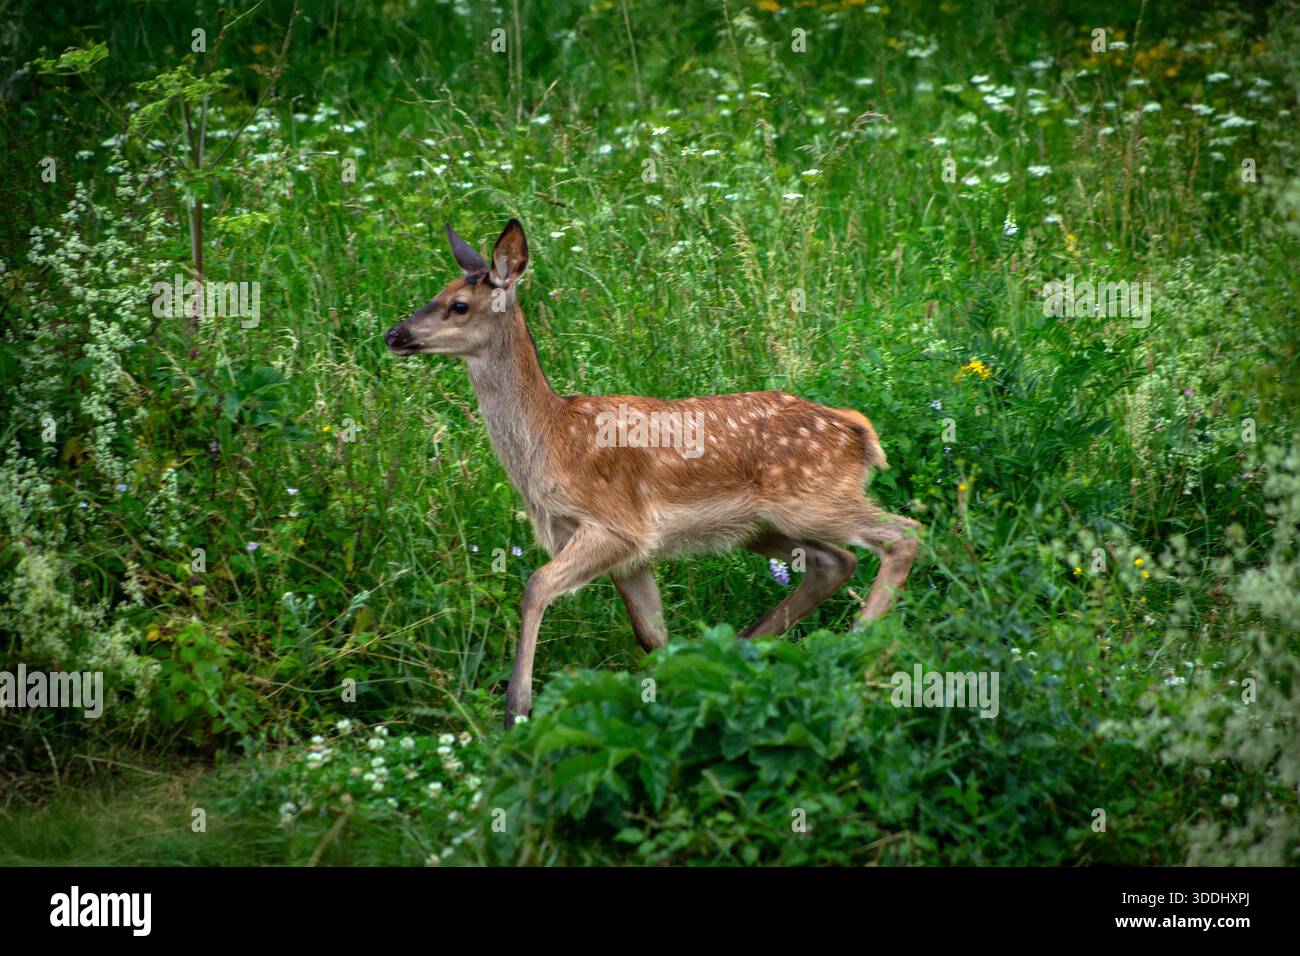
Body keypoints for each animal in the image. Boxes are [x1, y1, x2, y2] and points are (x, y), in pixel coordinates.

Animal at [386, 219, 922, 728]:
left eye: (458, 305)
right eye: (435, 291)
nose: (394, 335)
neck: (551, 439)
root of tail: (858, 431)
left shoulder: (616, 523)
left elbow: (535, 586)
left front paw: (516, 712)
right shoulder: (631, 551)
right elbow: (652, 635)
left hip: (812, 498)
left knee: (904, 533)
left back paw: (858, 646)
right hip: (762, 525)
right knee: (836, 560)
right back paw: (749, 647)